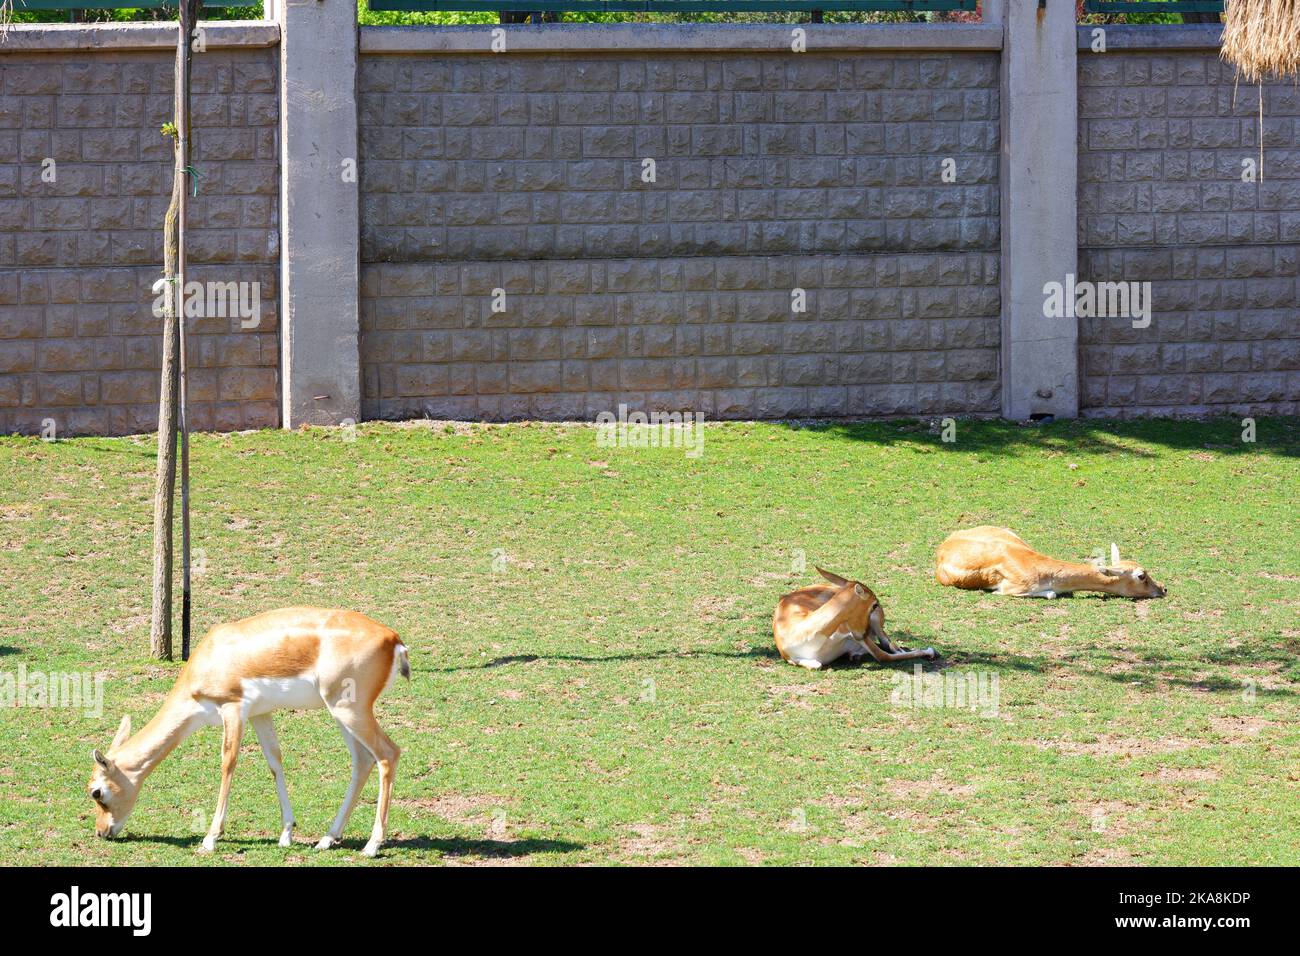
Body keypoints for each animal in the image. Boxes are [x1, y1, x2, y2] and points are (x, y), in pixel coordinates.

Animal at [87, 607, 409, 857]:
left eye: (96, 792)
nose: (102, 832)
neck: (210, 658)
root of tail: (393, 638)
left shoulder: (233, 709)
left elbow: (228, 763)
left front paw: (210, 838)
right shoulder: (260, 714)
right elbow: (275, 762)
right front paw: (286, 834)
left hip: (349, 710)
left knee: (388, 754)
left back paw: (372, 846)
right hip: (341, 714)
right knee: (363, 760)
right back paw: (328, 839)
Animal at [774, 567, 937, 670]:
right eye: (874, 604)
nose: (865, 632)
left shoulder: (851, 633)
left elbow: (883, 655)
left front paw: (930, 651)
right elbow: (816, 665)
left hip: (876, 625)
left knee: (889, 643)